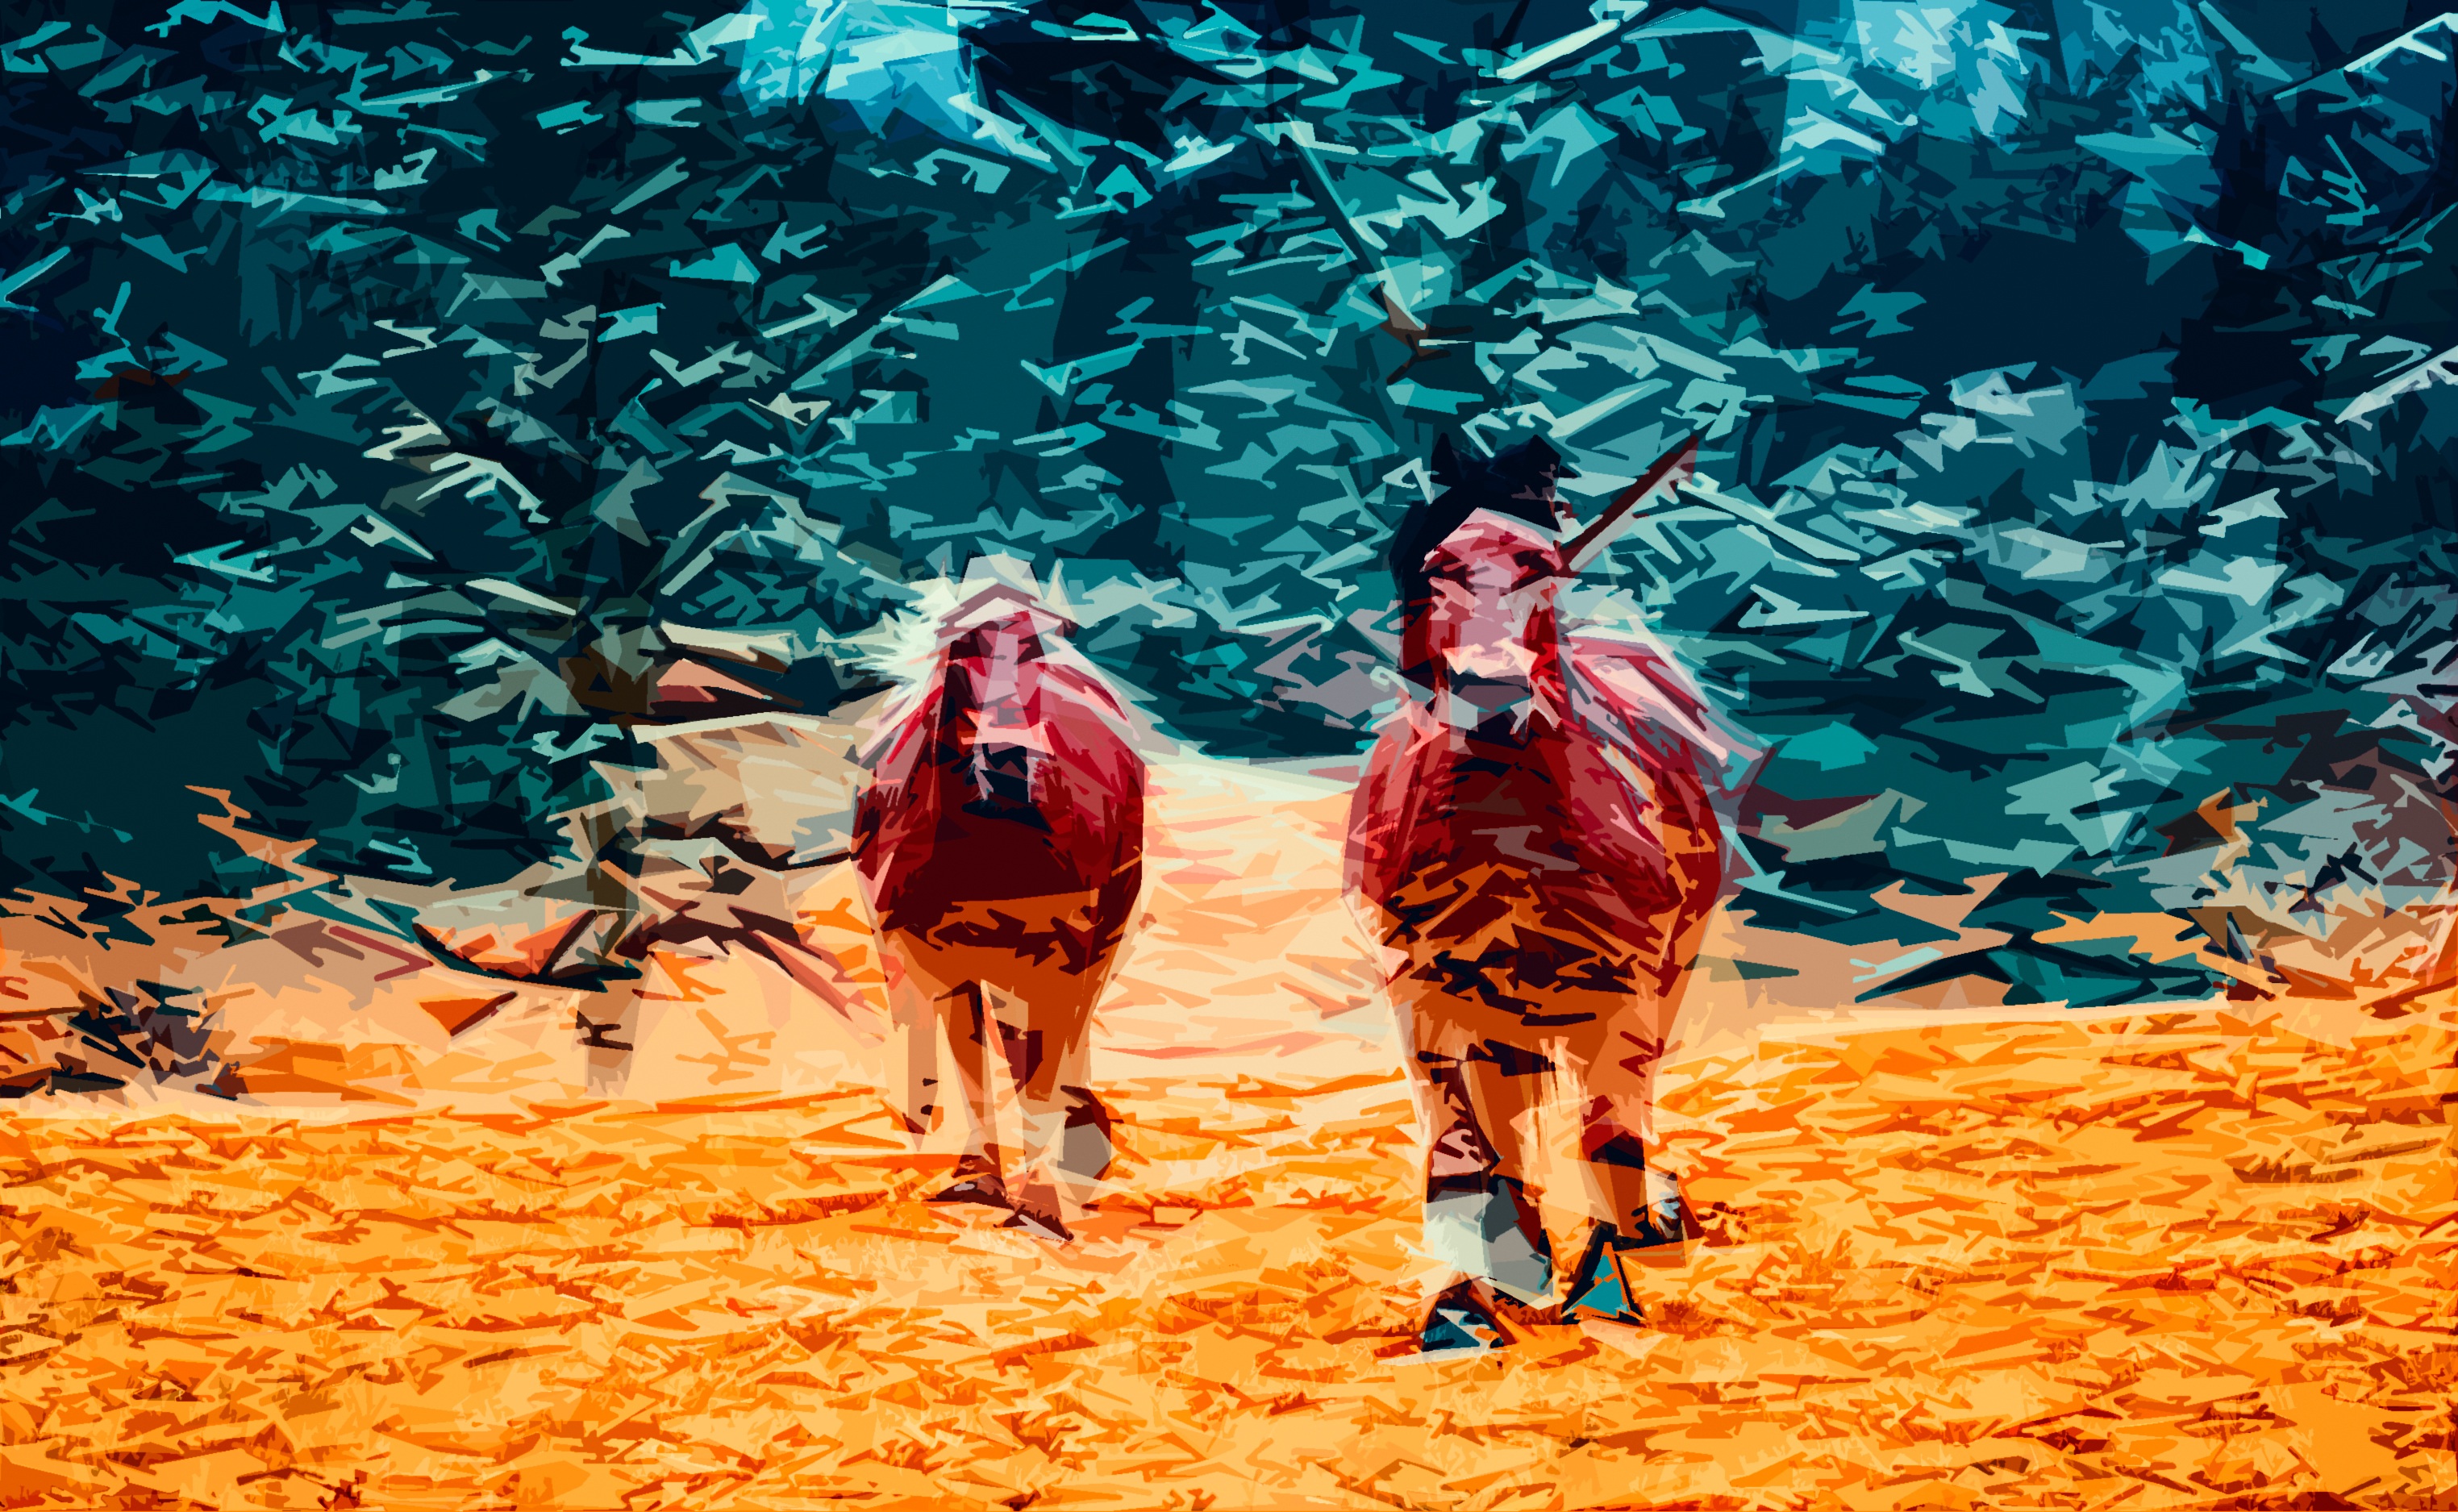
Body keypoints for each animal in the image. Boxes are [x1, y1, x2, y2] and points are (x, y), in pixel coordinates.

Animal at [853, 555, 1147, 1240]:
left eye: (1034, 647)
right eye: (962, 652)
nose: (1014, 754)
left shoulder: (1066, 948)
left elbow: (1041, 1073)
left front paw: (1043, 1201)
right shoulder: (924, 951)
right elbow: (968, 1068)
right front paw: (976, 1178)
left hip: (1102, 927)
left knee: (1059, 1048)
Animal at [1346, 433, 1748, 1352]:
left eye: (1541, 568)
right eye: (1436, 566)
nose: (1493, 700)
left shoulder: (1623, 982)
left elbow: (1608, 1128)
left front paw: (1604, 1282)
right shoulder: (1423, 991)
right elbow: (1462, 1146)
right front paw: (1464, 1301)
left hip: (1668, 967)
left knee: (1630, 1102)